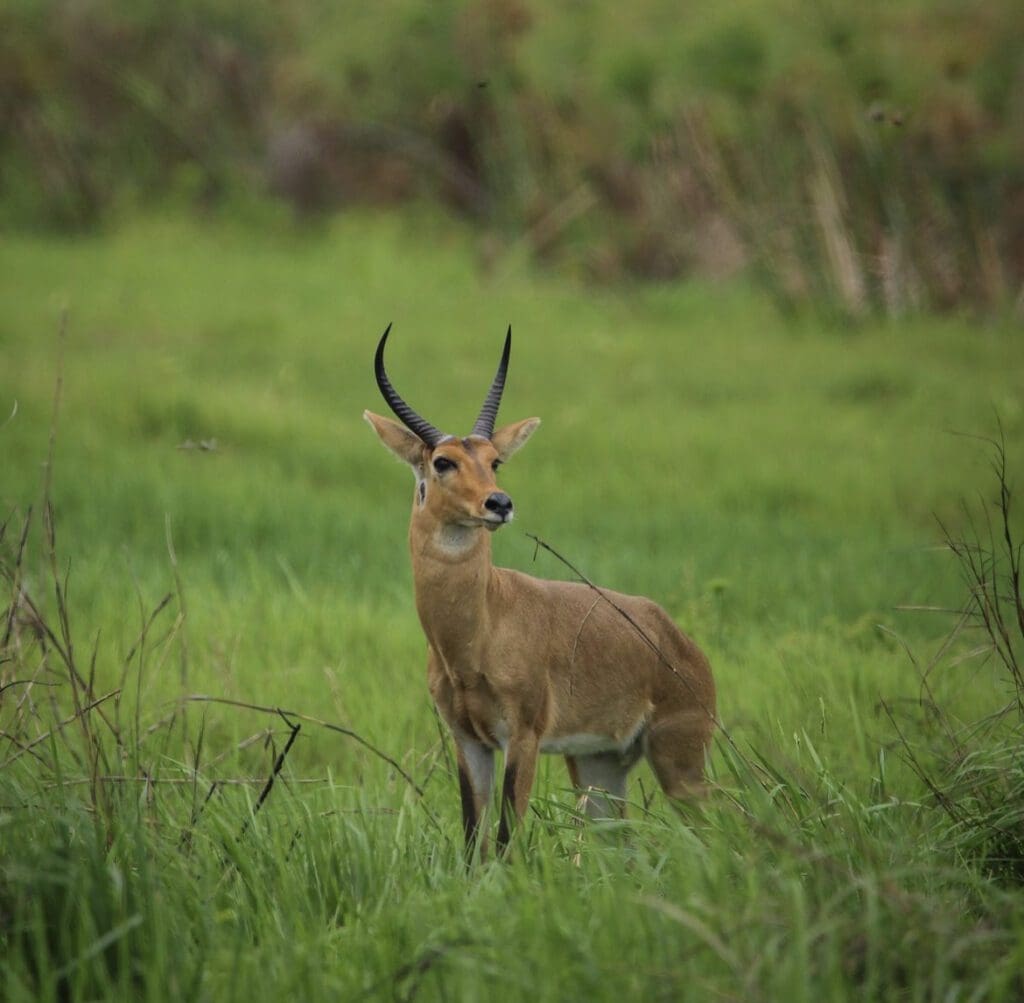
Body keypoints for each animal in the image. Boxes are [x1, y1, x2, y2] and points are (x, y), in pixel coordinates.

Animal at [364, 326, 716, 855]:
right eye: (443, 461)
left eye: (495, 461)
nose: (499, 503)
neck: (478, 632)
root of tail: (680, 640)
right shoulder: (468, 739)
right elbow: (473, 836)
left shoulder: (523, 736)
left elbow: (507, 837)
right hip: (600, 763)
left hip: (679, 759)